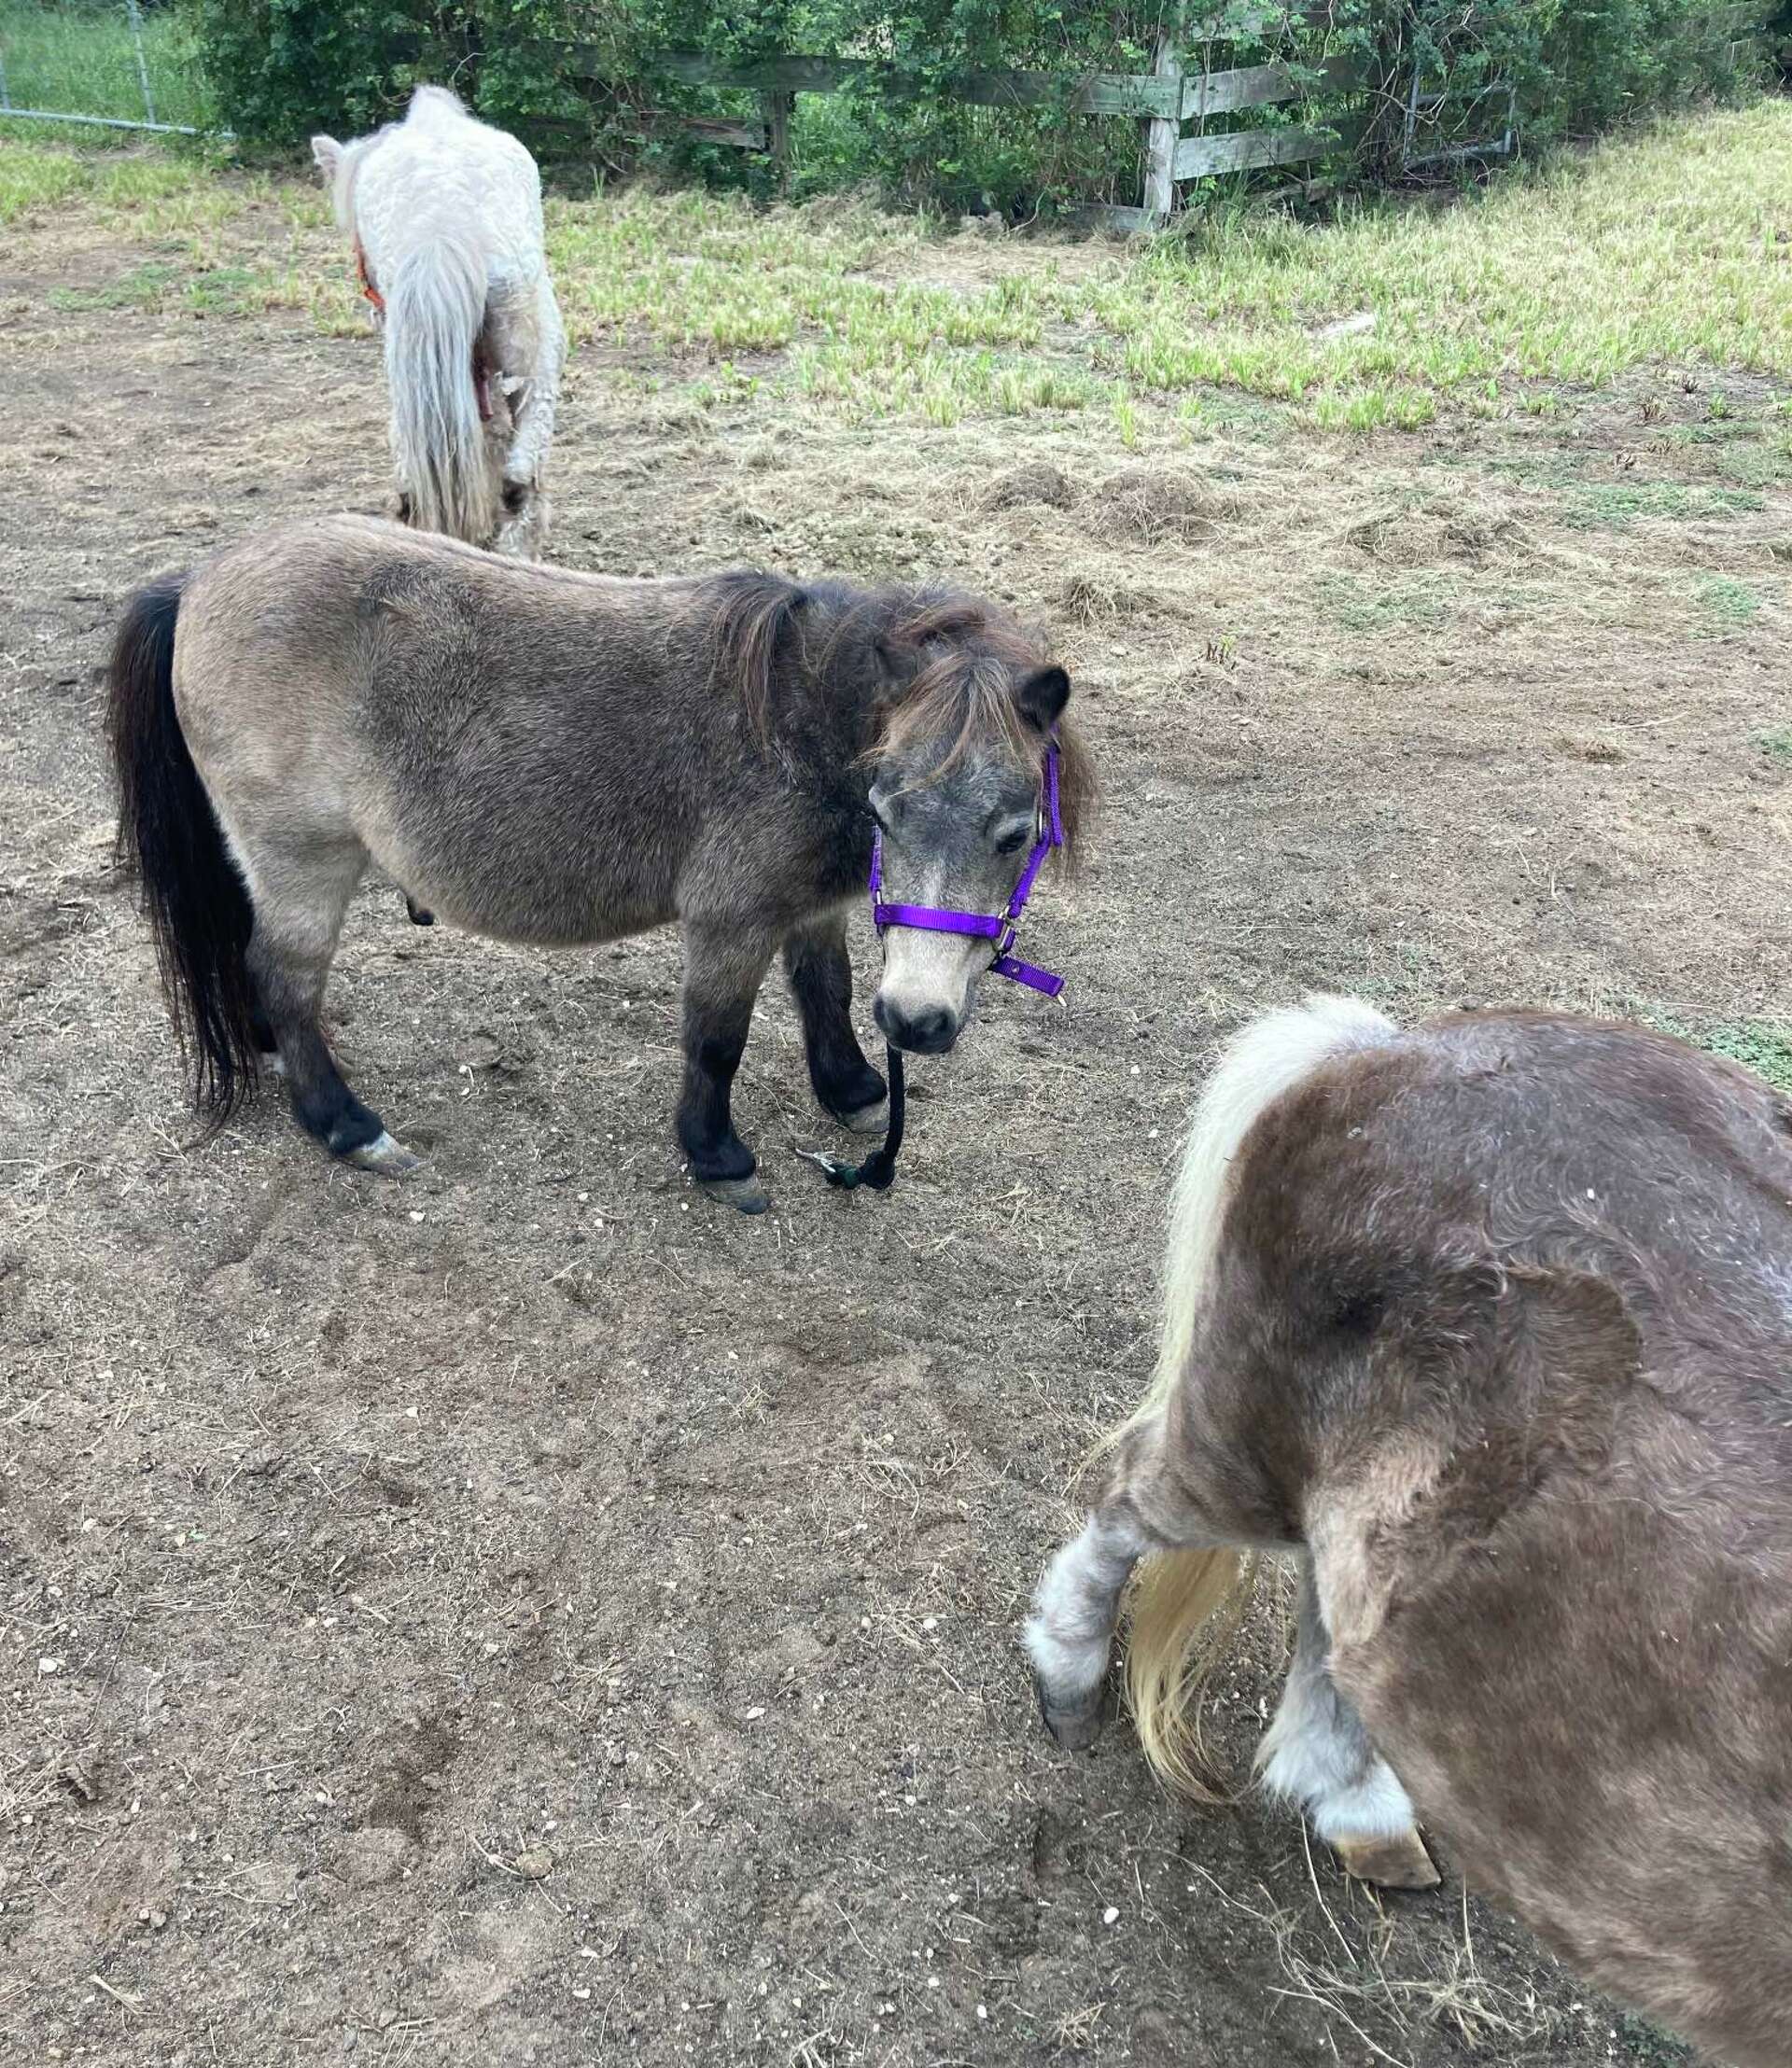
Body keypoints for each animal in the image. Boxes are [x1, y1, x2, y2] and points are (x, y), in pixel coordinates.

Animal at [105, 515, 1088, 1211]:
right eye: (885, 811)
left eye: (1014, 833)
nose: (917, 1024)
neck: (800, 720)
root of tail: (194, 583)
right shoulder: (732, 920)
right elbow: (717, 1038)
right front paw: (716, 1157)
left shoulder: (809, 908)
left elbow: (828, 991)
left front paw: (851, 1090)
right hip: (306, 859)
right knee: (283, 975)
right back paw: (346, 1127)